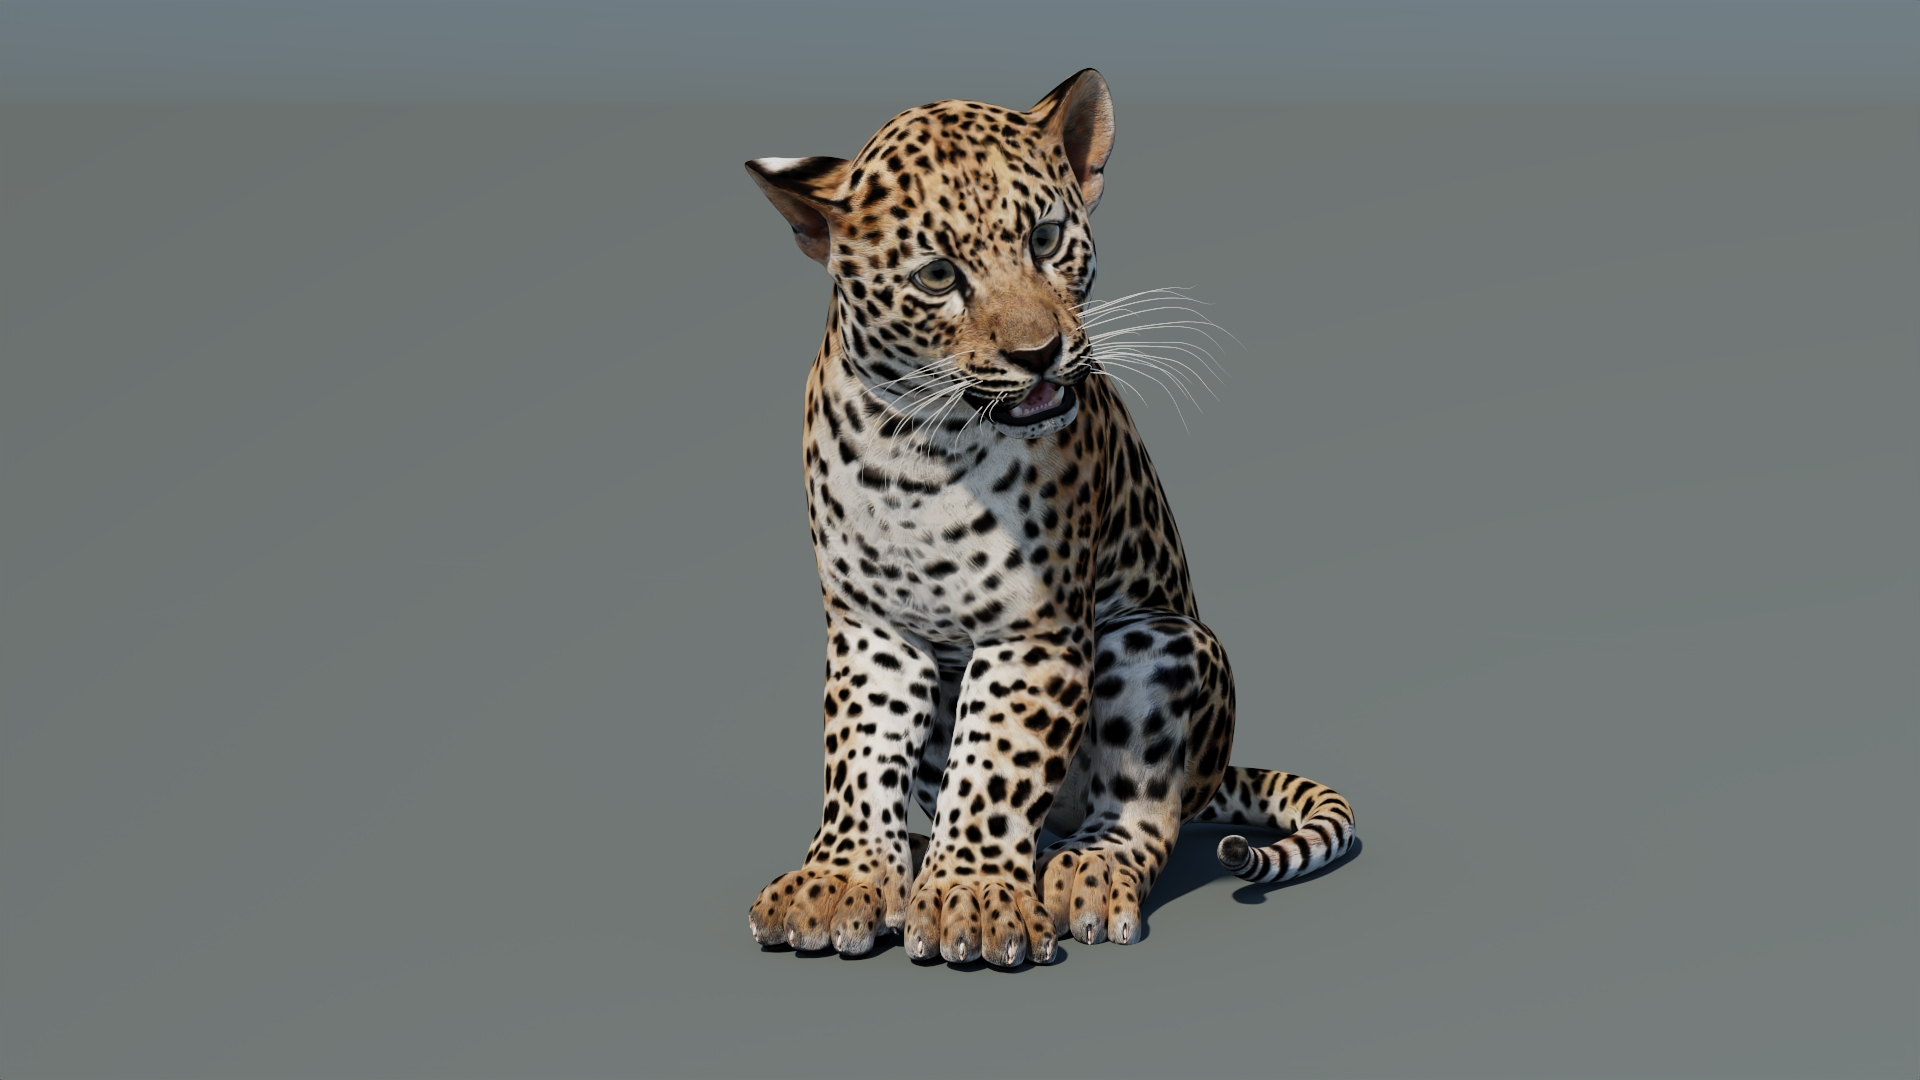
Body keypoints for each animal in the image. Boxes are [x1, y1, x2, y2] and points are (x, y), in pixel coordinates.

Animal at [744, 69, 1357, 967]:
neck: (918, 450)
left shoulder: (1031, 629)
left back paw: (1084, 873)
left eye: (1045, 237)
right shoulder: (871, 625)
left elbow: (996, 765)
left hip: (1160, 643)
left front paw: (969, 899)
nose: (1038, 355)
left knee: (1138, 811)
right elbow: (859, 752)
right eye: (936, 276)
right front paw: (844, 879)